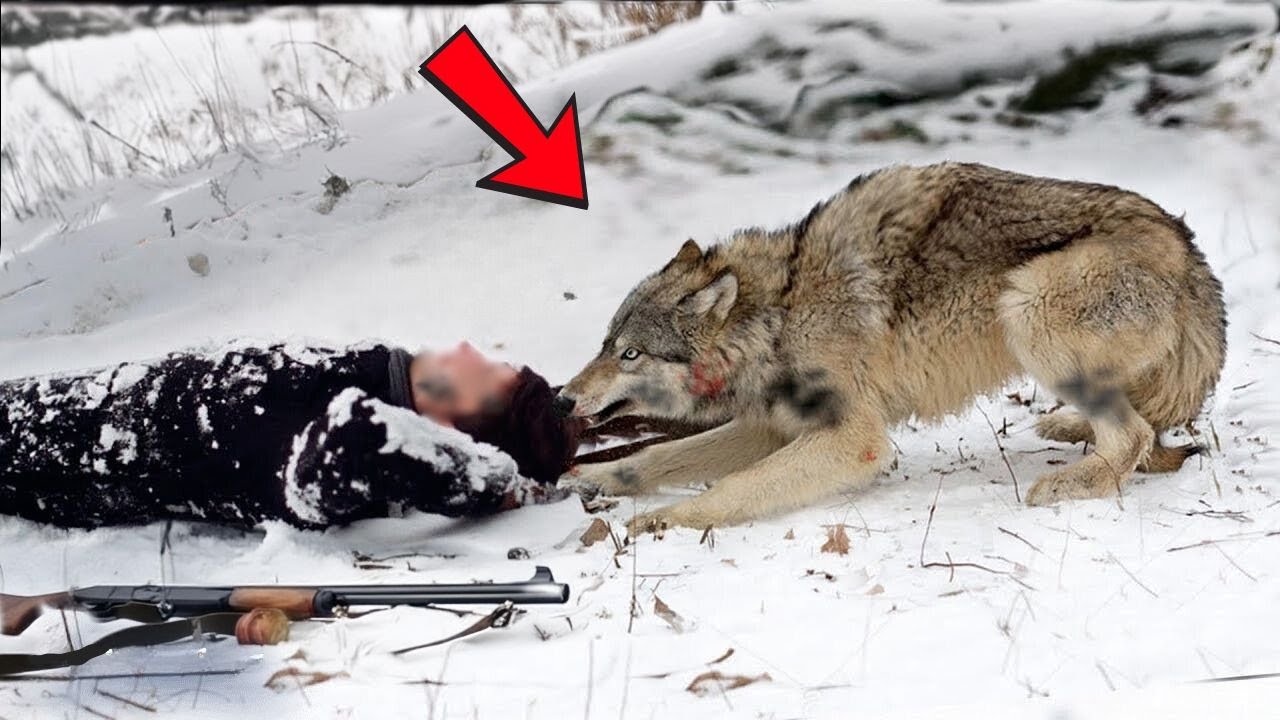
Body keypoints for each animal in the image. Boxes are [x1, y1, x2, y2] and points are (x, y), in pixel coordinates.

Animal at [558, 162, 1226, 534]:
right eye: (606, 345)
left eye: (630, 354)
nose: (563, 398)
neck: (779, 316)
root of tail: (1185, 244)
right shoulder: (770, 427)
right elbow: (654, 458)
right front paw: (589, 478)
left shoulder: (852, 438)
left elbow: (732, 489)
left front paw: (661, 522)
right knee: (1141, 425)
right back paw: (1065, 428)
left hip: (1026, 307)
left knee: (1134, 436)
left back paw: (1067, 484)